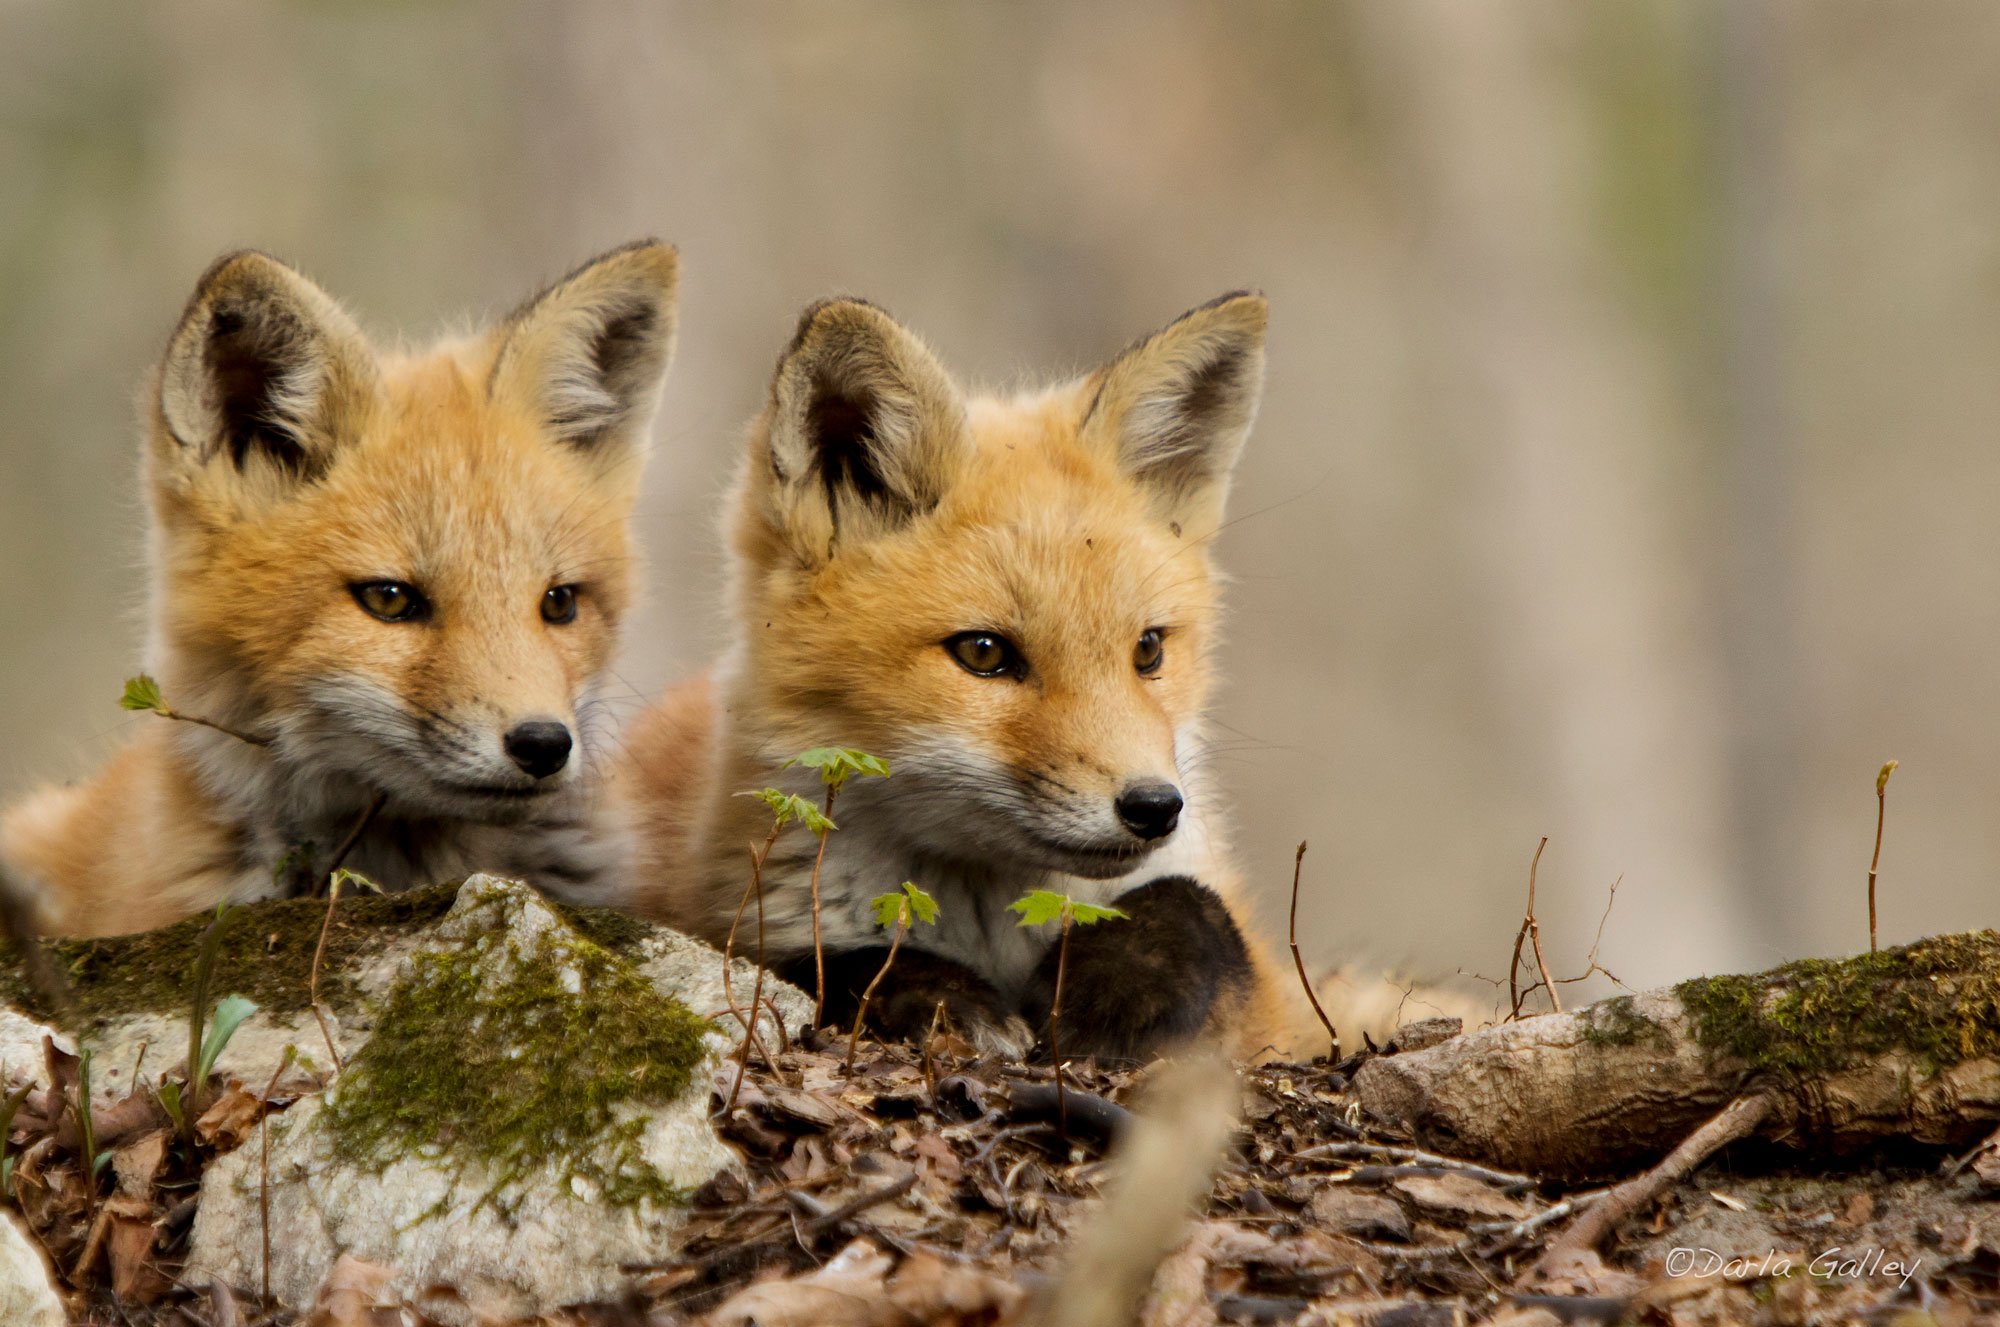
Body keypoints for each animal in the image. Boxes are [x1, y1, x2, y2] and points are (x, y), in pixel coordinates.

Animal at [621, 291, 1317, 1062]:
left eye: (1147, 651)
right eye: (983, 653)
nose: (1155, 807)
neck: (994, 924)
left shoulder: (1273, 996)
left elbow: (1197, 908)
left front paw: (1121, 989)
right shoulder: (734, 911)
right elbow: (831, 960)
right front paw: (948, 999)